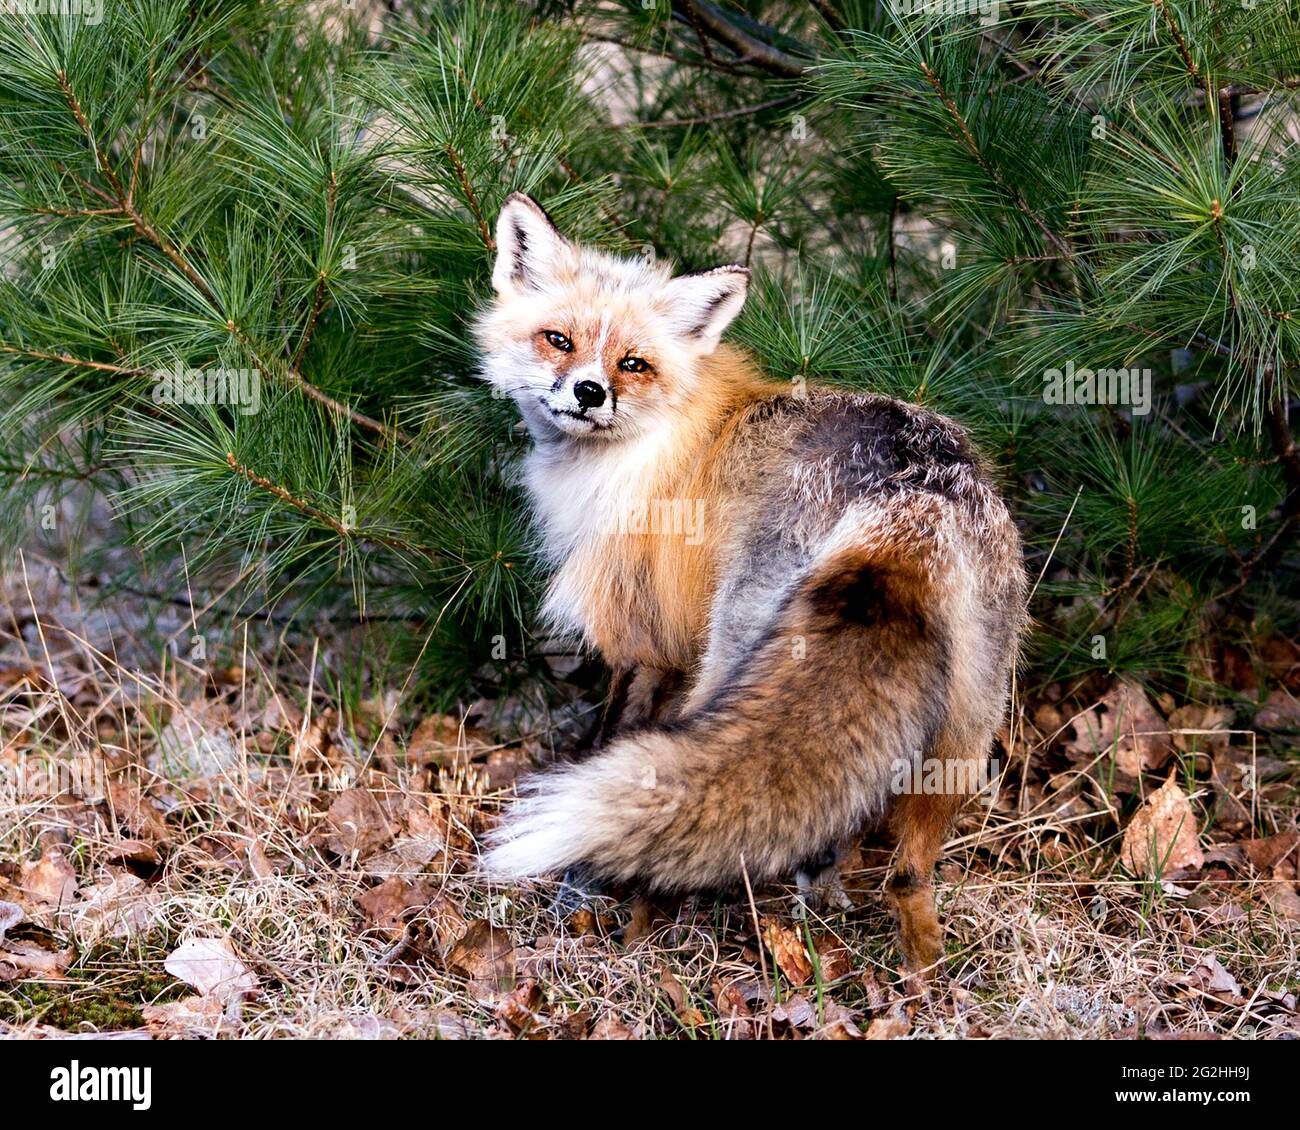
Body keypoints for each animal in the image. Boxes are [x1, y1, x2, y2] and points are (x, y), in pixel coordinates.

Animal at [475, 192, 1028, 972]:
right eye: (558, 339)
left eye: (633, 363)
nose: (589, 392)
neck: (656, 442)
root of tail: (915, 485)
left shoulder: (642, 639)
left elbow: (606, 742)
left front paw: (576, 890)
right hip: (964, 725)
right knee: (905, 872)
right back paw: (905, 962)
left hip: (733, 654)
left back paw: (646, 926)